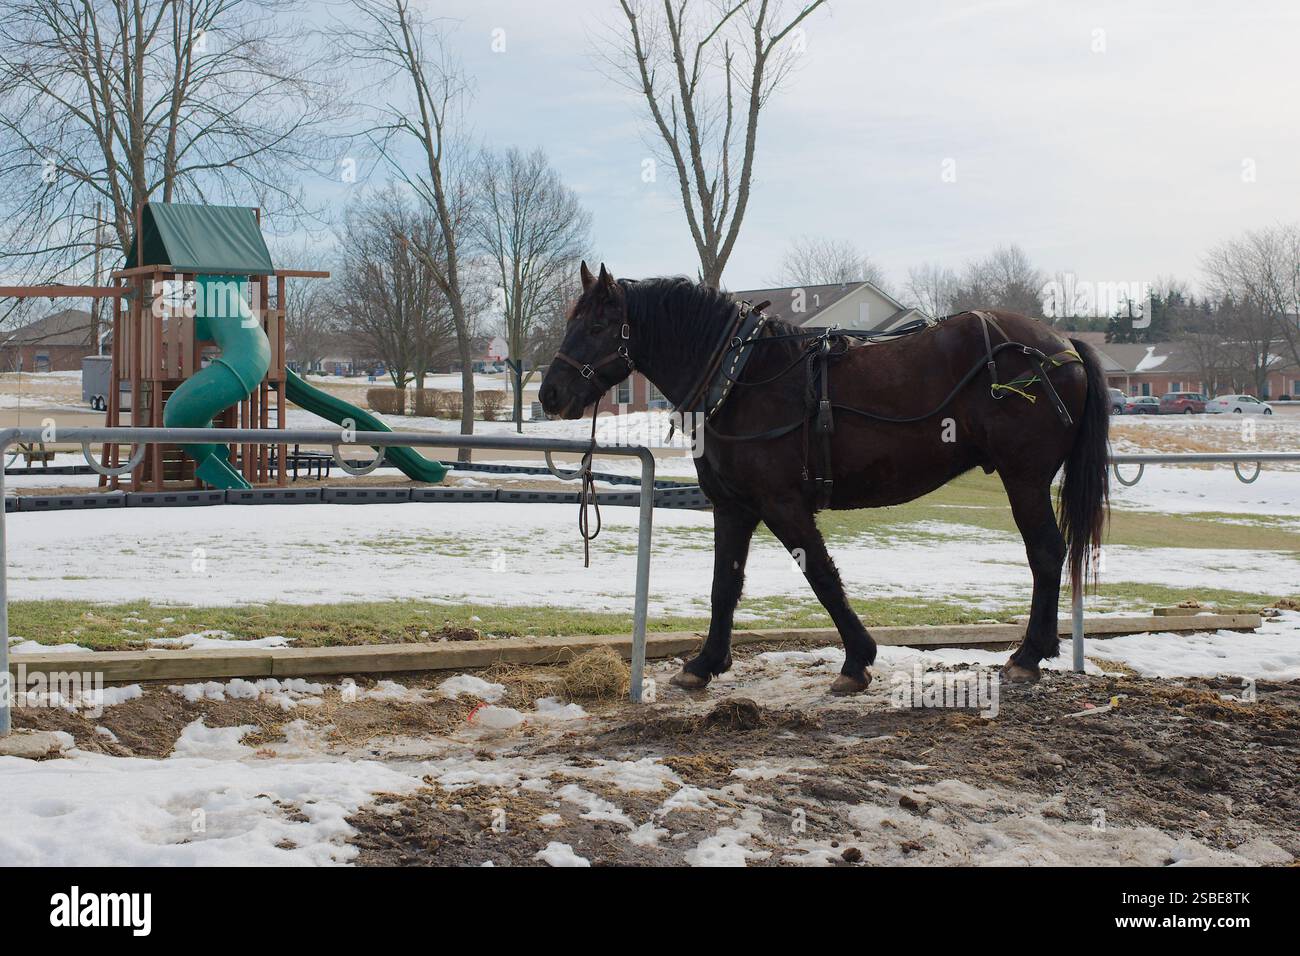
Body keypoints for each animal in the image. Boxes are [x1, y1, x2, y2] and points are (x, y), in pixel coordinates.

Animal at [540, 262, 1109, 695]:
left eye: (596, 327)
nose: (550, 394)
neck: (742, 376)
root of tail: (1059, 344)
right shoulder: (734, 506)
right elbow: (725, 584)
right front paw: (705, 663)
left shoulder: (782, 504)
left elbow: (822, 577)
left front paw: (857, 661)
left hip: (1024, 478)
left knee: (1046, 553)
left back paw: (1028, 655)